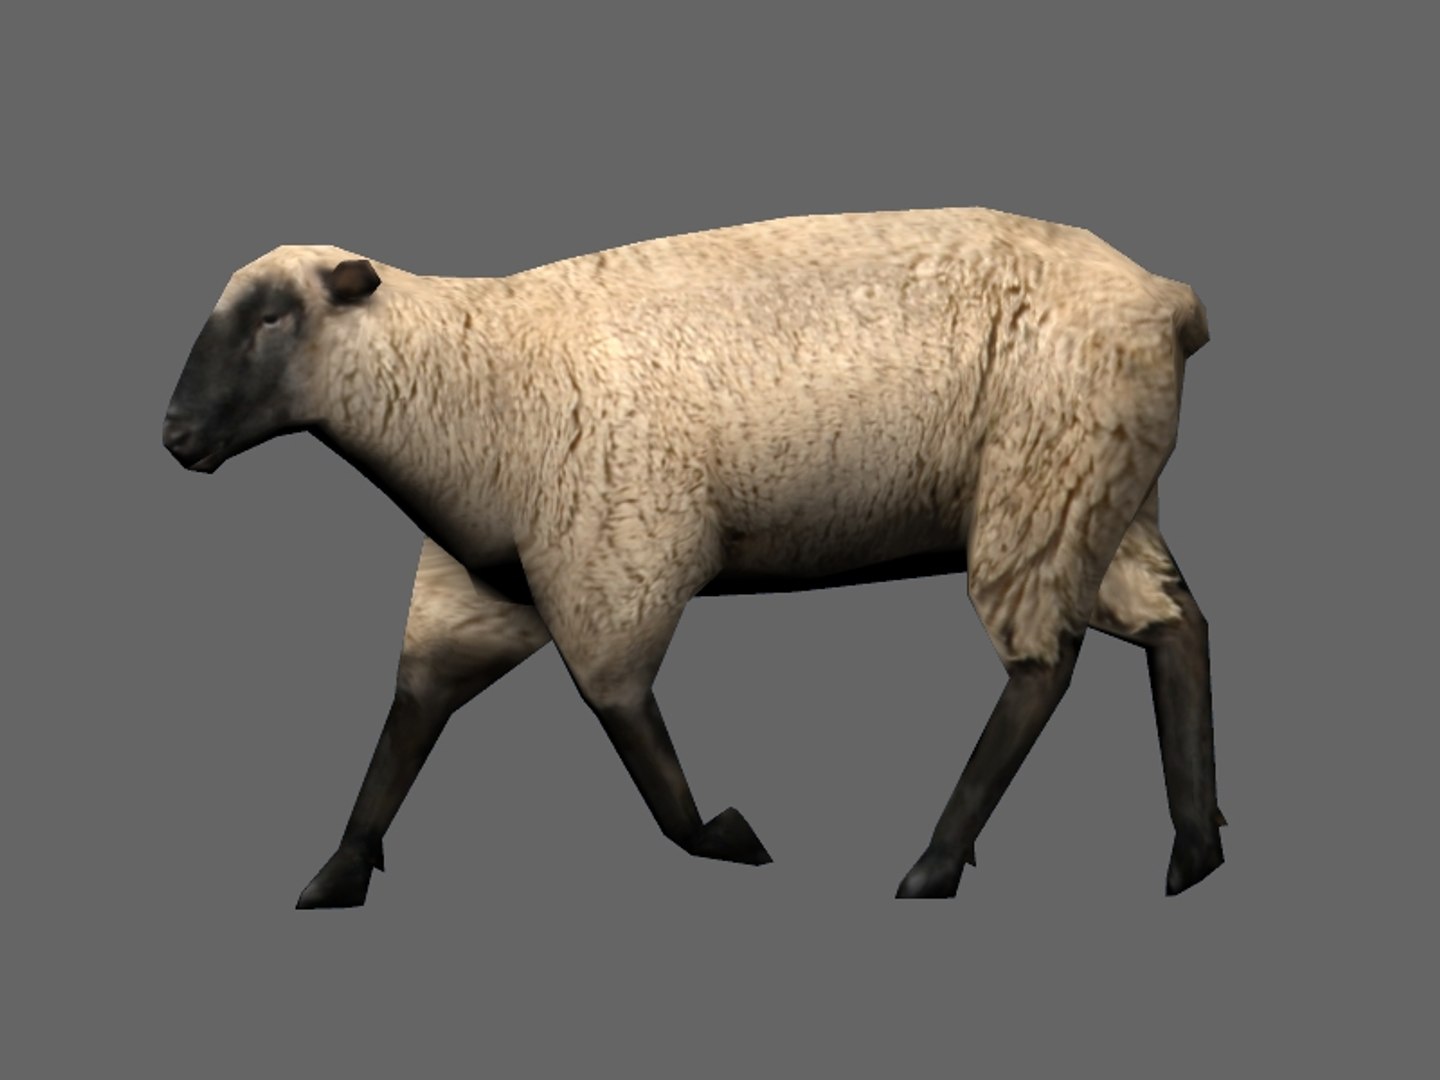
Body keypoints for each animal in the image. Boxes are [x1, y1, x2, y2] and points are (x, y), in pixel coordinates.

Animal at [161, 207, 1225, 908]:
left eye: (271, 318)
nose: (173, 436)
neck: (474, 376)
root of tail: (1168, 301)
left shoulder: (619, 559)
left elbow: (623, 718)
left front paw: (723, 838)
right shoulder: (483, 586)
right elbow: (408, 719)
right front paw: (340, 868)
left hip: (1040, 482)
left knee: (1043, 668)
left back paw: (936, 863)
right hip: (1103, 493)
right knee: (1176, 627)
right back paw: (1195, 849)